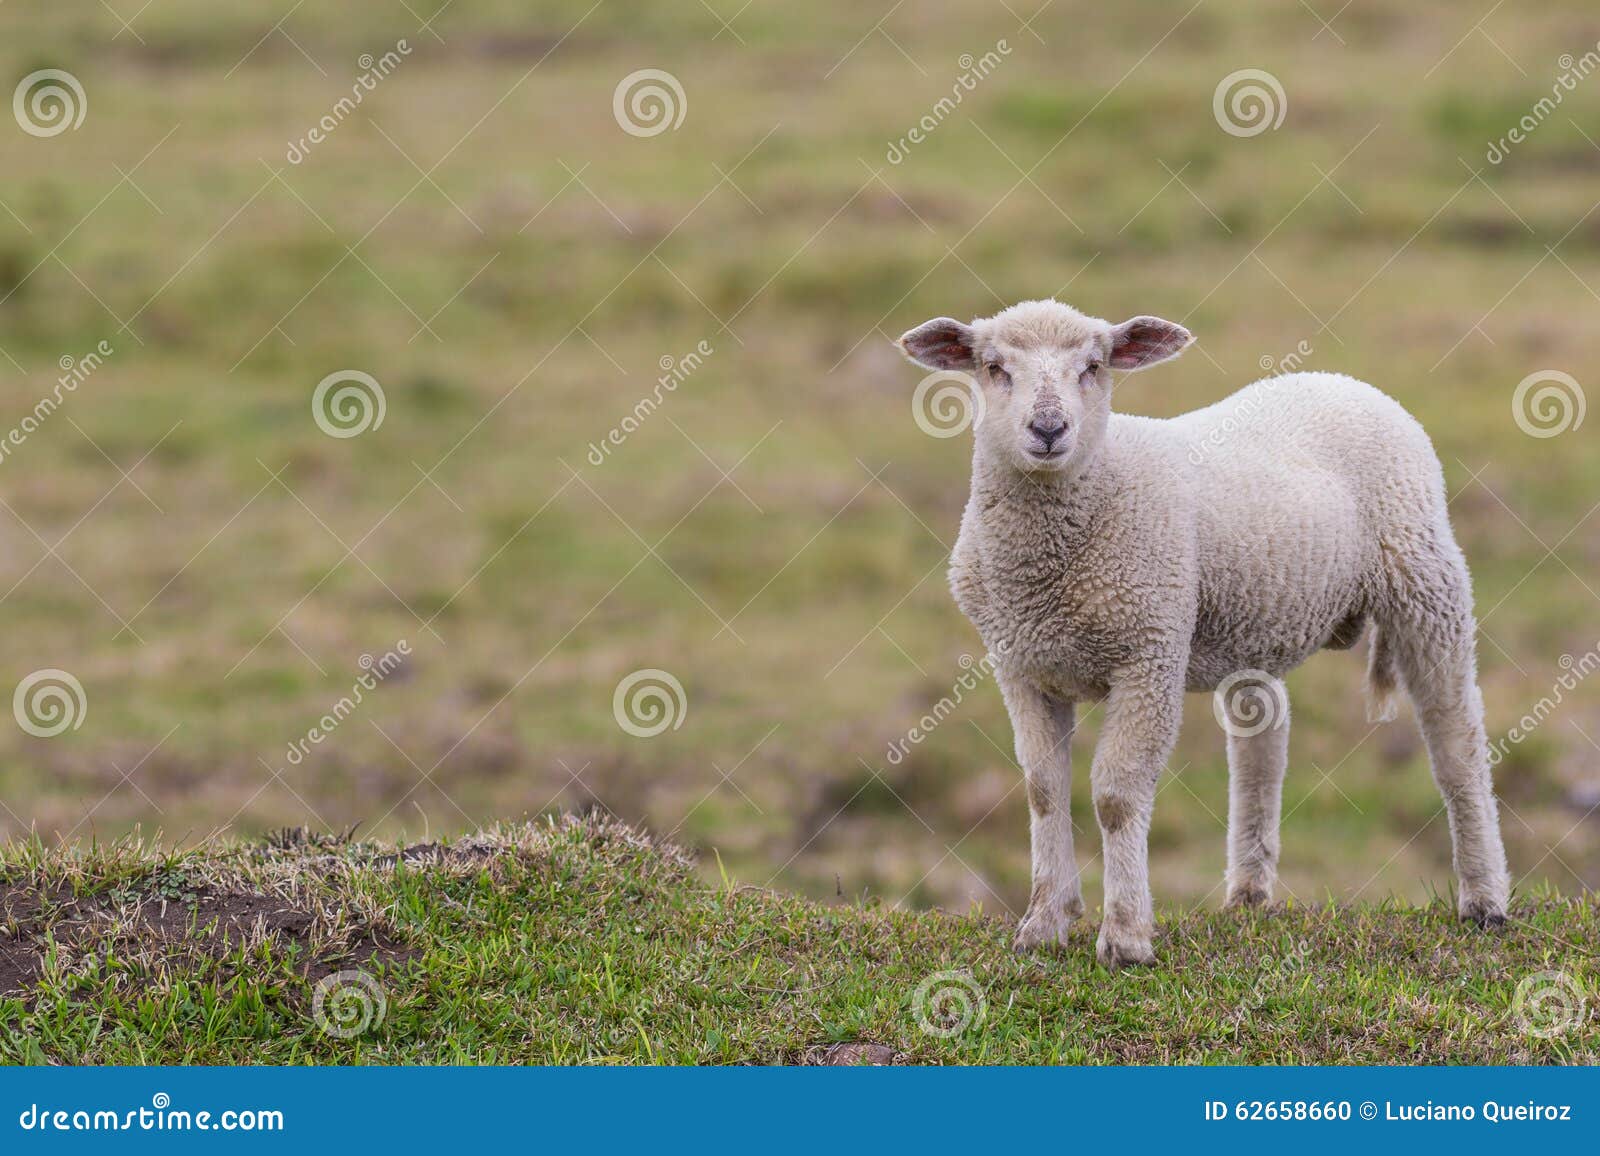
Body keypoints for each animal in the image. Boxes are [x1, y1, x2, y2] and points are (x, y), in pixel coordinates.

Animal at [896, 298, 1510, 967]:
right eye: (993, 367)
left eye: (1094, 366)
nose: (1049, 428)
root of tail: (1343, 380)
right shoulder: (1022, 666)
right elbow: (1043, 789)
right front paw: (1044, 923)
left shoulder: (1149, 653)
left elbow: (1116, 795)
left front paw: (1126, 936)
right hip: (1254, 618)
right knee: (1263, 736)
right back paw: (1248, 893)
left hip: (1425, 579)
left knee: (1457, 741)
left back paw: (1484, 900)